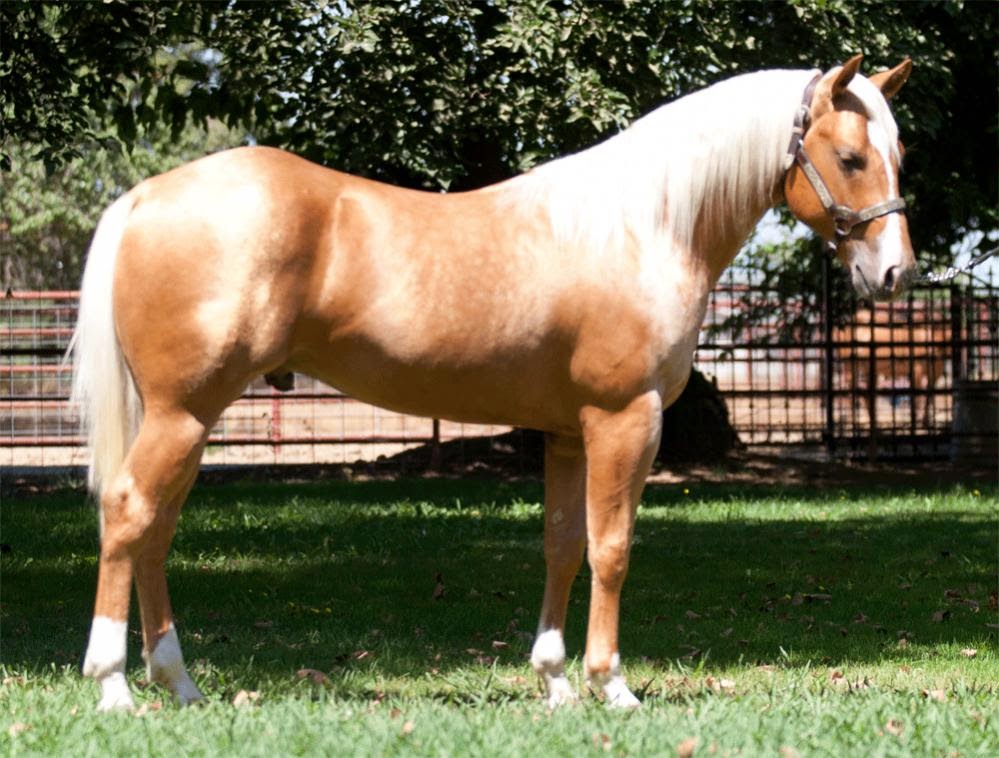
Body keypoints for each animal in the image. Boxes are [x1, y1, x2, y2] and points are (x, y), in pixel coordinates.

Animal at [70, 55, 914, 711]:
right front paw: (610, 685)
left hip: (188, 418)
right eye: (848, 158)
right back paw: (112, 685)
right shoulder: (624, 419)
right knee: (129, 512)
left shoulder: (568, 432)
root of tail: (146, 195)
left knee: (155, 530)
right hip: (182, 412)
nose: (894, 273)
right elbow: (612, 546)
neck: (642, 226)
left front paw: (555, 682)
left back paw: (179, 685)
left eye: (897, 154)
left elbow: (562, 544)